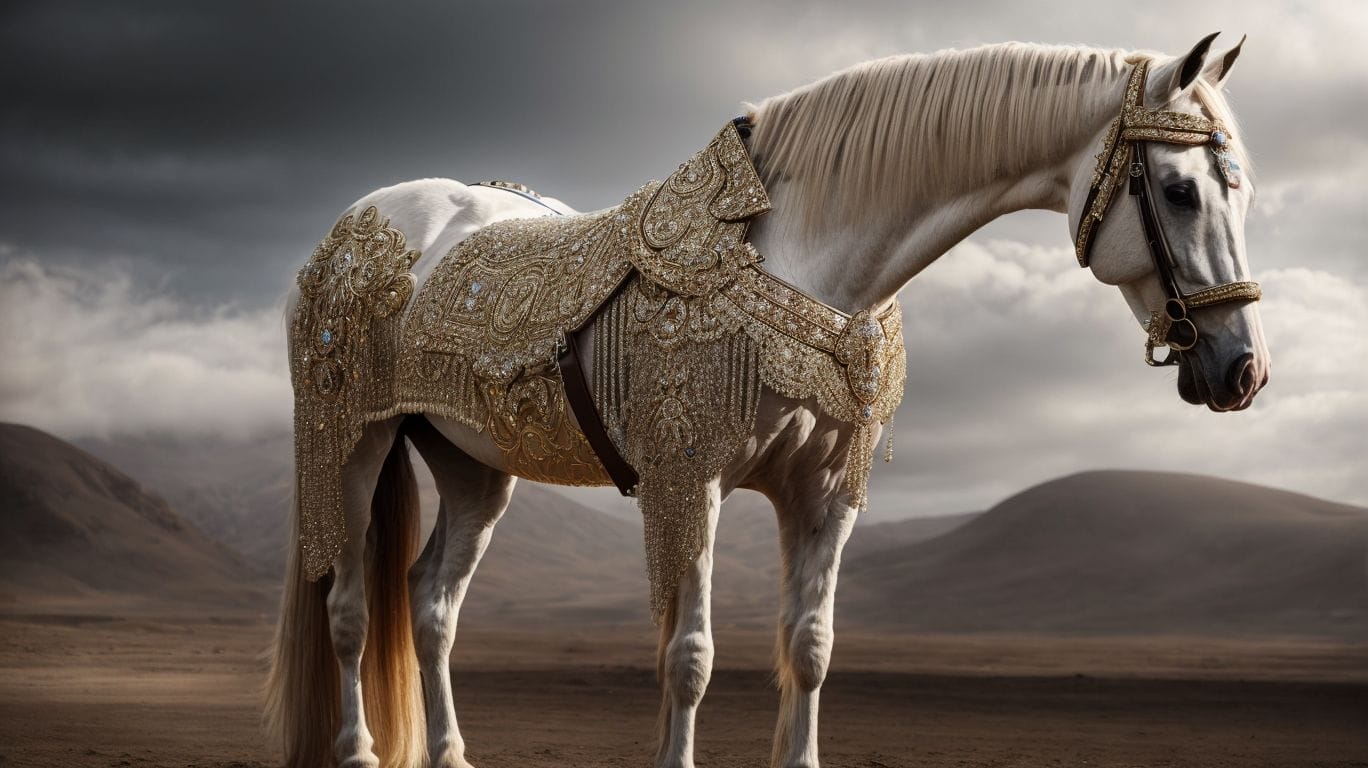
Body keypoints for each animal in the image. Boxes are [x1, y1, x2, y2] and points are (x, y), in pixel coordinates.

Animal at [265, 35, 1269, 768]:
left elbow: (811, 647)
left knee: (431, 605)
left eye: (1240, 189)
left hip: (476, 464)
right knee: (350, 609)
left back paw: (449, 753)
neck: (807, 262)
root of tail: (361, 226)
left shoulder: (824, 494)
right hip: (349, 444)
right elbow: (690, 658)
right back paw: (358, 751)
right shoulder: (688, 481)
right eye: (1178, 189)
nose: (1242, 371)